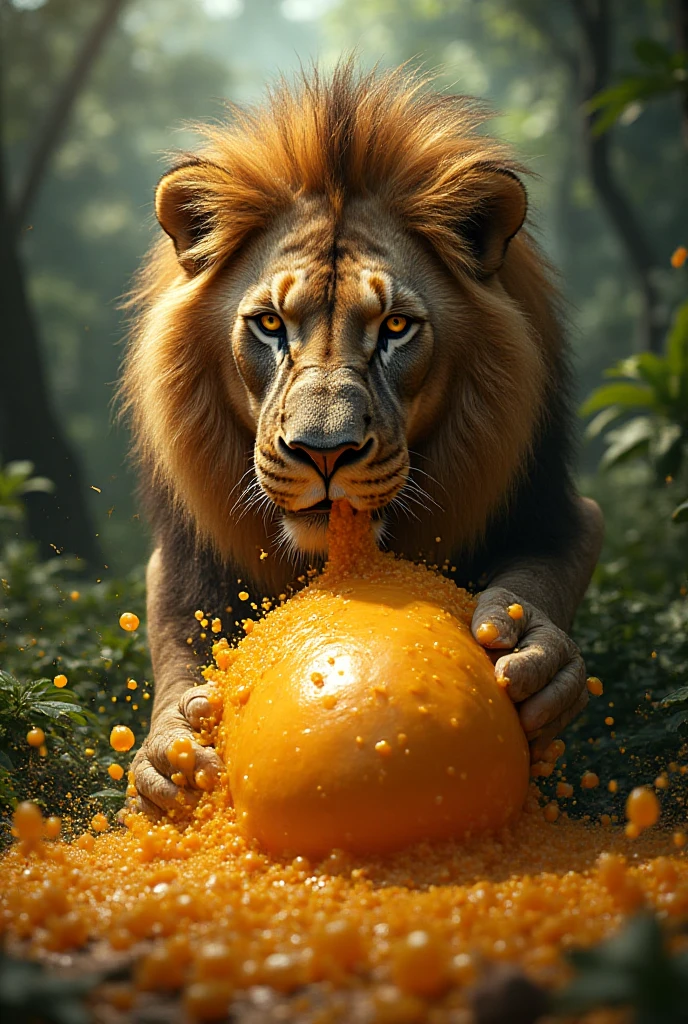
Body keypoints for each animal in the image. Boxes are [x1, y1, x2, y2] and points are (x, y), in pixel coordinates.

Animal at [121, 62, 603, 815]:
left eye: (396, 328)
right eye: (269, 324)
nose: (325, 452)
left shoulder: (558, 510)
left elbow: (540, 580)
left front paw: (535, 660)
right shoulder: (183, 552)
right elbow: (177, 646)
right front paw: (171, 757)